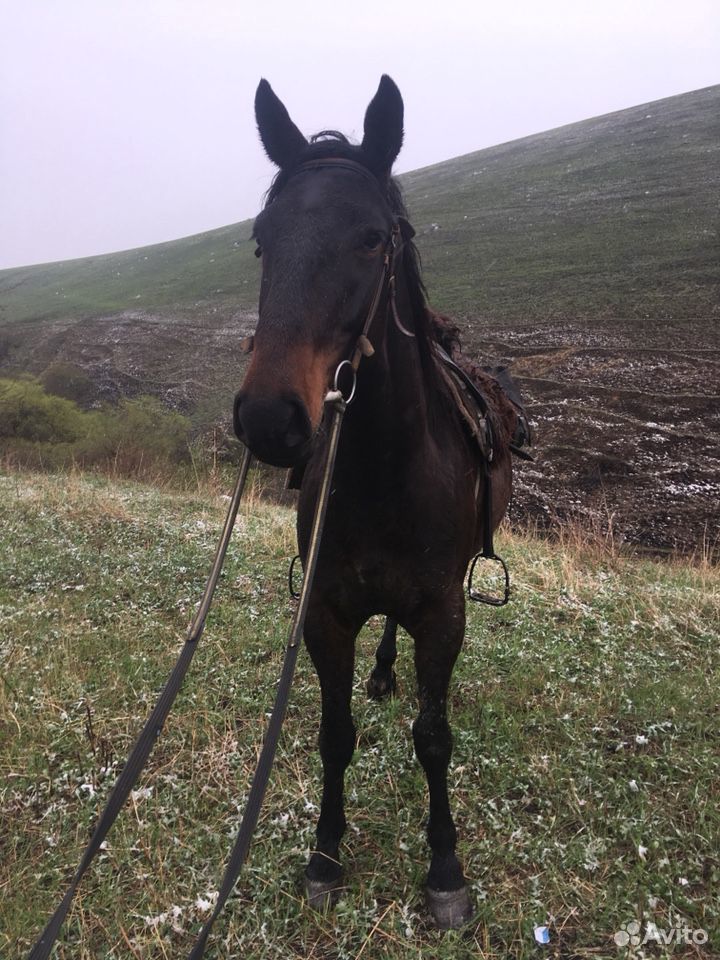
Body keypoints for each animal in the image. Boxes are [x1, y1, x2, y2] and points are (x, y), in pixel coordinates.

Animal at [233, 75, 522, 929]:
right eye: (261, 239)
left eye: (370, 239)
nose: (269, 417)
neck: (388, 471)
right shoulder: (326, 614)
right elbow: (334, 732)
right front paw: (326, 854)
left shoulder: (444, 614)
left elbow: (434, 737)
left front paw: (445, 869)